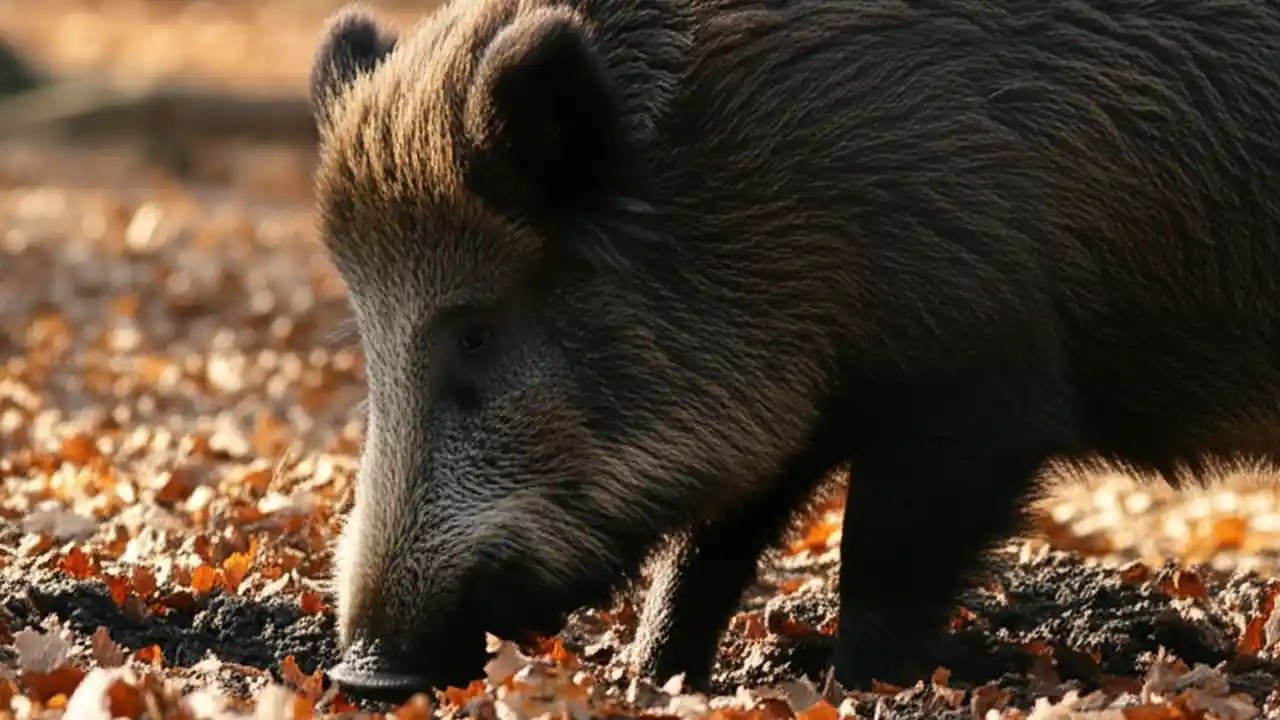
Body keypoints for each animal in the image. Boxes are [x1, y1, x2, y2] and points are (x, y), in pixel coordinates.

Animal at [308, 0, 1280, 701]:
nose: (365, 676)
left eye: (476, 334)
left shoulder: (978, 390)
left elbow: (879, 554)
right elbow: (707, 550)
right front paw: (652, 681)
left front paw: (869, 689)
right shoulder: (795, 415)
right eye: (369, 345)